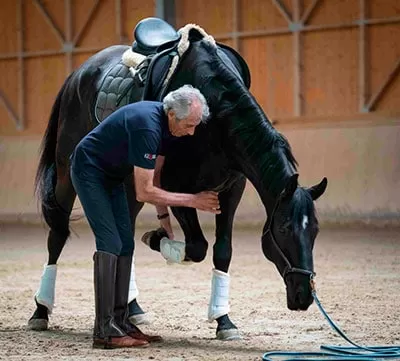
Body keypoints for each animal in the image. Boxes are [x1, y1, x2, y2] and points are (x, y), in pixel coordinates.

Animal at [28, 19, 328, 340]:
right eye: (284, 228)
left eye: (315, 230)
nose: (304, 295)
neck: (215, 121)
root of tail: (78, 74)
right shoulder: (173, 187)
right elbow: (196, 247)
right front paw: (158, 239)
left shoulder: (232, 189)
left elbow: (222, 252)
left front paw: (224, 321)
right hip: (66, 174)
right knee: (57, 235)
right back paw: (41, 310)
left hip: (127, 186)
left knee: (122, 236)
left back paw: (132, 309)